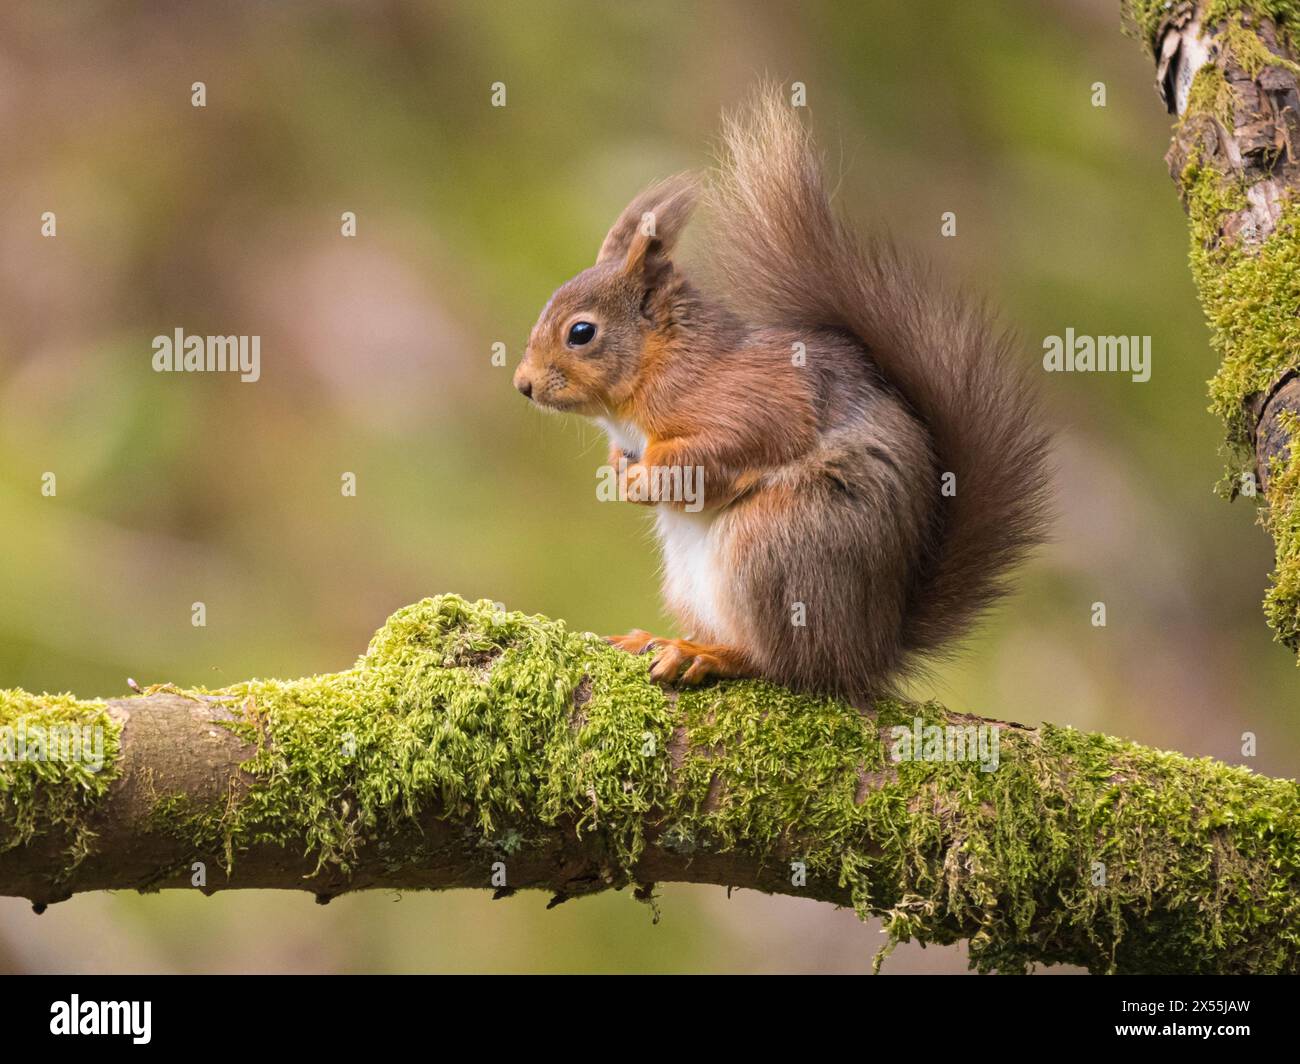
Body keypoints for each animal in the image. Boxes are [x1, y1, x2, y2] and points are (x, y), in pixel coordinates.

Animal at [512, 88, 1050, 702]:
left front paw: (646, 477)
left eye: (581, 332)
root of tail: (869, 653)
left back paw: (707, 655)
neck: (659, 368)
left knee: (785, 664)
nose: (523, 384)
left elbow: (720, 450)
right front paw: (616, 470)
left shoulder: (753, 402)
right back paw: (656, 638)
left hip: (774, 545)